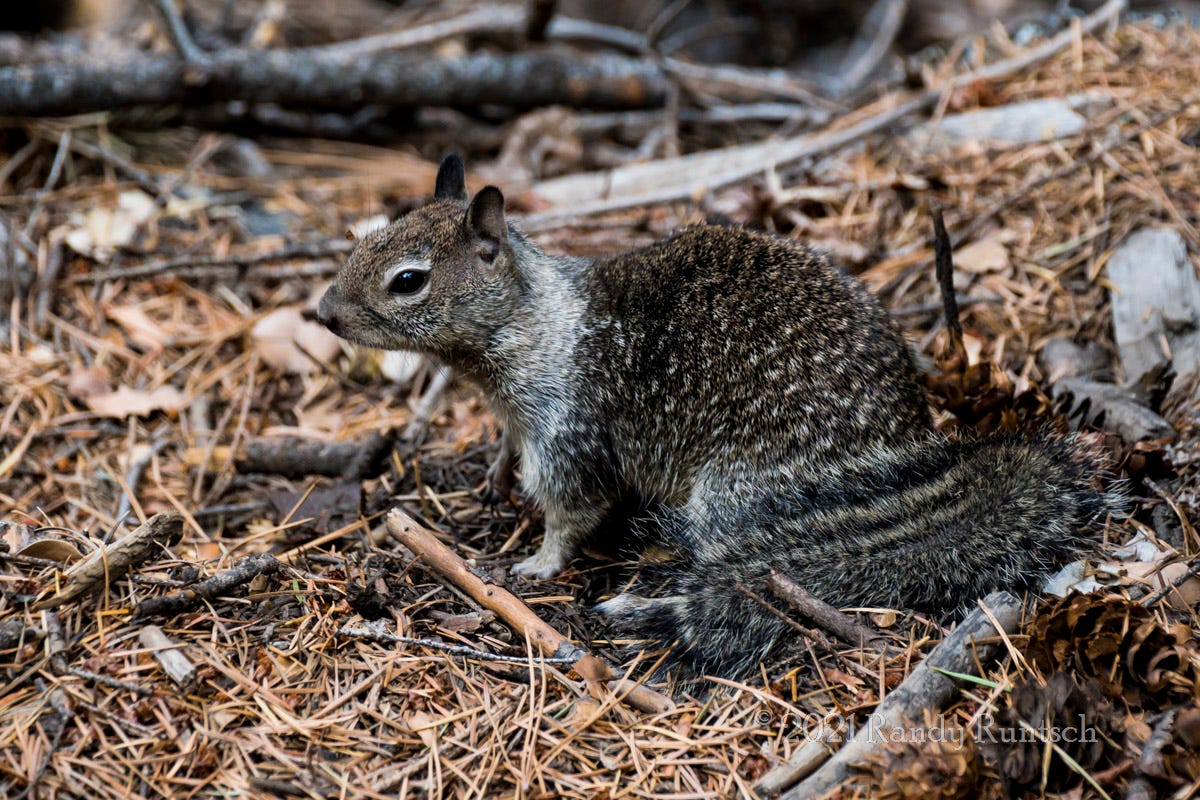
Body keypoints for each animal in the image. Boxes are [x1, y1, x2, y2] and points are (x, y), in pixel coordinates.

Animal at [317, 153, 1122, 678]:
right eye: (366, 237)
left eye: (408, 280)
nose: (322, 313)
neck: (533, 322)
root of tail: (913, 465)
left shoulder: (566, 431)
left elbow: (572, 511)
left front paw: (534, 564)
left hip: (736, 499)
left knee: (752, 574)